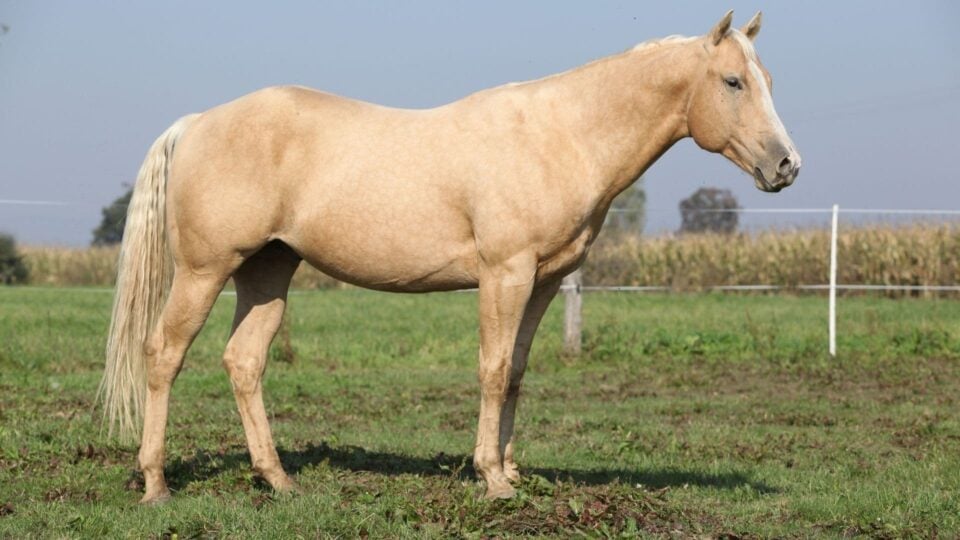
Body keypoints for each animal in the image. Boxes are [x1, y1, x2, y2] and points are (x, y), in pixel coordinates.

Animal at [99, 10, 800, 503]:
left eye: (768, 81)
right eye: (733, 81)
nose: (786, 166)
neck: (562, 135)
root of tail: (195, 122)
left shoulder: (544, 282)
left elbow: (516, 371)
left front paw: (513, 468)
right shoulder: (504, 273)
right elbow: (491, 369)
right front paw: (493, 479)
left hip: (268, 270)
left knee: (244, 362)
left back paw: (278, 481)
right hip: (204, 271)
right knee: (163, 356)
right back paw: (156, 483)